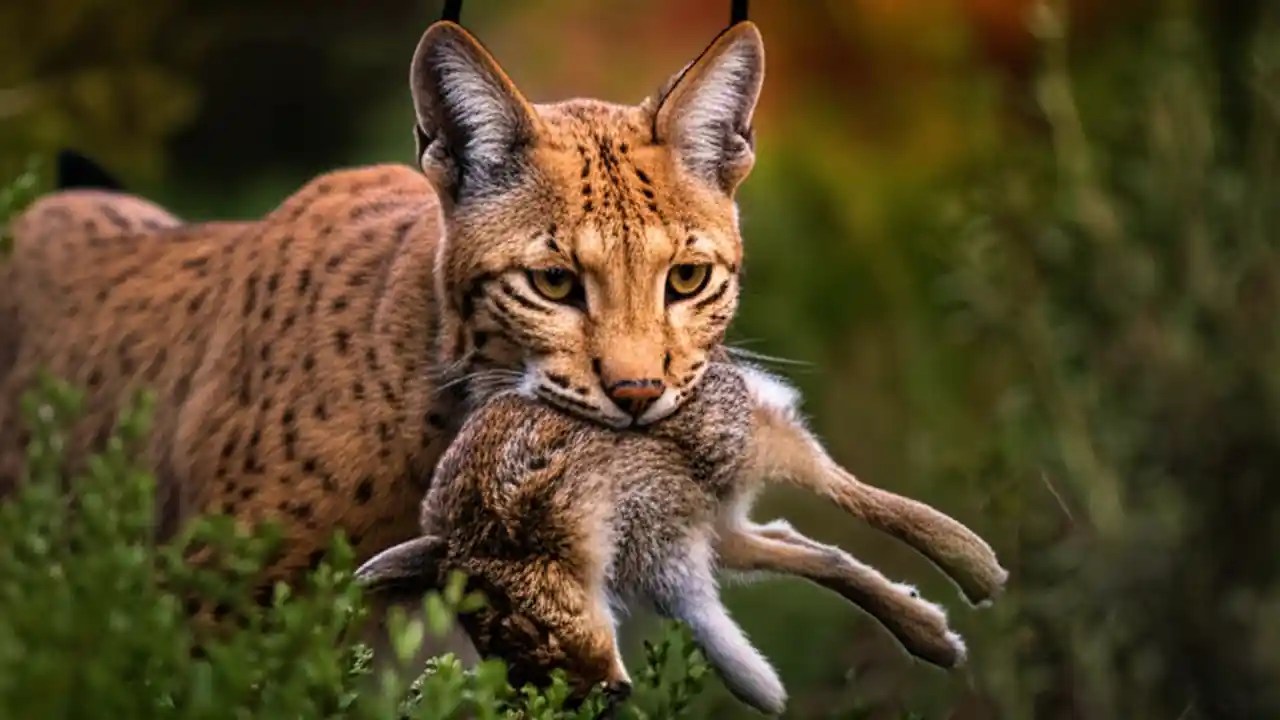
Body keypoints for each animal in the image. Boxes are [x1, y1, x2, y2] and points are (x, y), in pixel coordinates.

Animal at [356, 360, 1007, 715]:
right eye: (496, 653)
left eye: (527, 627)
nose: (605, 696)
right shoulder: (665, 550)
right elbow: (698, 607)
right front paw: (765, 691)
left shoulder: (657, 535)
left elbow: (695, 610)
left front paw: (758, 689)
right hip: (727, 530)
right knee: (808, 548)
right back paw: (932, 634)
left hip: (748, 447)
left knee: (846, 493)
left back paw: (976, 571)